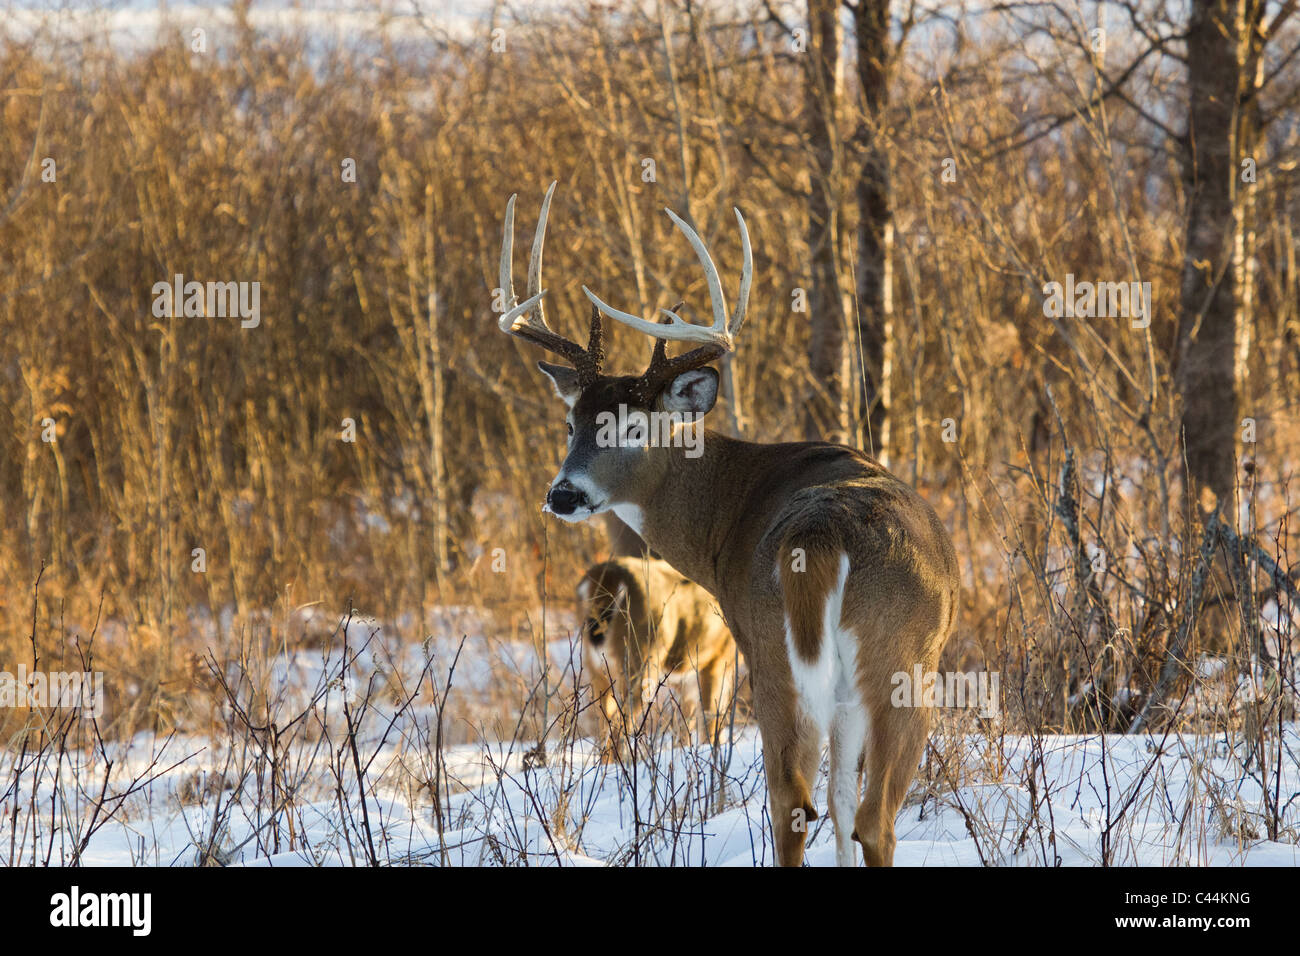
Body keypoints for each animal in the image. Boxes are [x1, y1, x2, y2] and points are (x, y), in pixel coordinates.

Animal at [577, 556, 738, 757]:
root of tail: (608, 574)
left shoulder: (687, 679)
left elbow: (685, 722)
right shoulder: (716, 661)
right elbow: (710, 719)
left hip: (596, 668)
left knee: (603, 723)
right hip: (641, 658)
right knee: (621, 724)